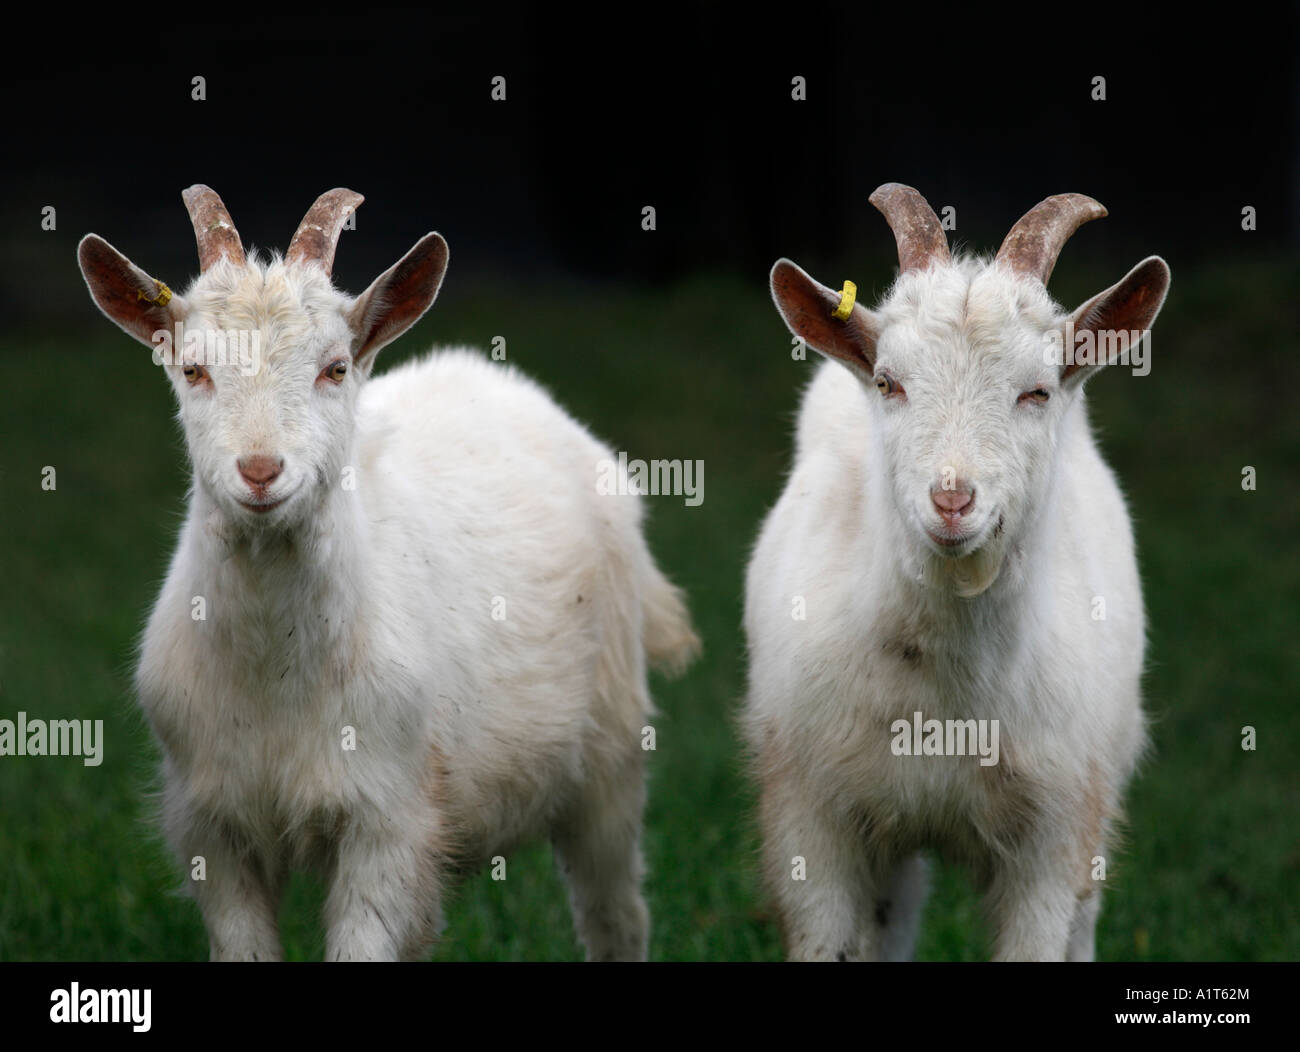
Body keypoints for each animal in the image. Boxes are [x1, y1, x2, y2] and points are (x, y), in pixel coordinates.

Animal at [77, 186, 699, 961]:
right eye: (193, 369)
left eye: (336, 367)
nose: (260, 471)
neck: (276, 676)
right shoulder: (211, 826)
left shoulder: (387, 818)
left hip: (610, 754)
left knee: (616, 913)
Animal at [744, 183, 1169, 961]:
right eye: (889, 383)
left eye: (1038, 390)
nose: (951, 500)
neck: (948, 701)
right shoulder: (810, 812)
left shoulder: (1056, 826)